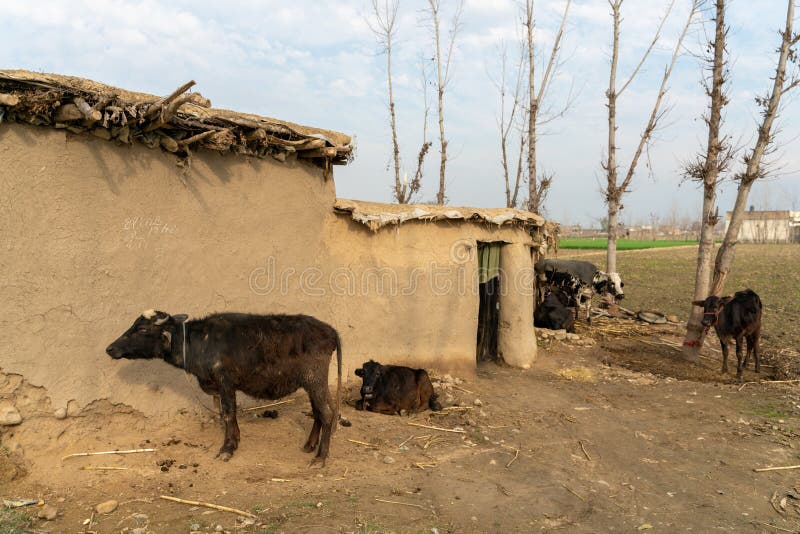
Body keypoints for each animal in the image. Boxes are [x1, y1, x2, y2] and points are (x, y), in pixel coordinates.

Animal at [106, 310, 342, 467]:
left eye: (142, 329)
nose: (110, 348)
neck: (198, 343)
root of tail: (330, 331)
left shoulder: (225, 382)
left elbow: (228, 414)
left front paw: (226, 449)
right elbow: (223, 414)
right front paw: (234, 441)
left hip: (315, 379)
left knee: (327, 413)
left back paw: (320, 458)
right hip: (313, 383)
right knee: (320, 412)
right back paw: (309, 445)